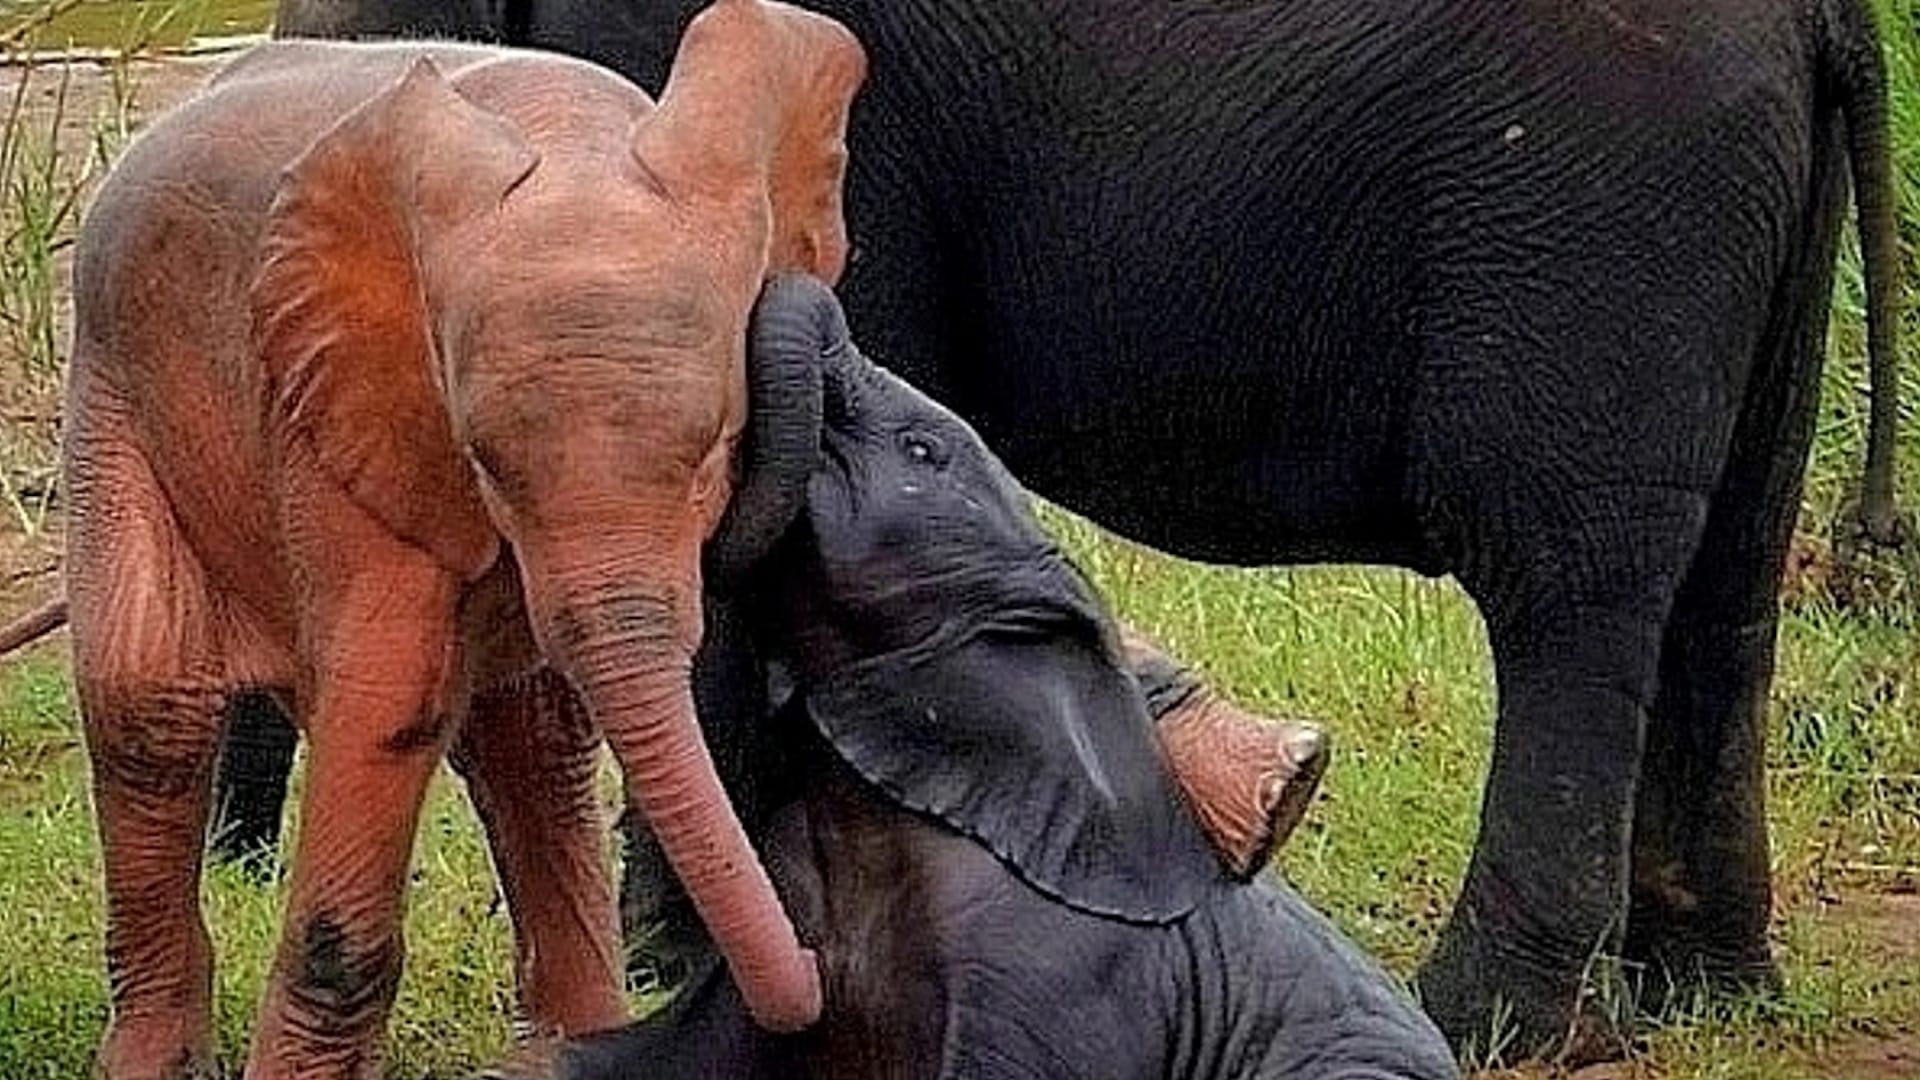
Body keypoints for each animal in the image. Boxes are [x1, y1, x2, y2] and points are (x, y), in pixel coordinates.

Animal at [60, 6, 869, 1074]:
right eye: (483, 462)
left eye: (716, 450)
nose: (818, 977)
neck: (572, 141)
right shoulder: (342, 419)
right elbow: (386, 705)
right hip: (114, 401)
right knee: (148, 703)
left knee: (534, 743)